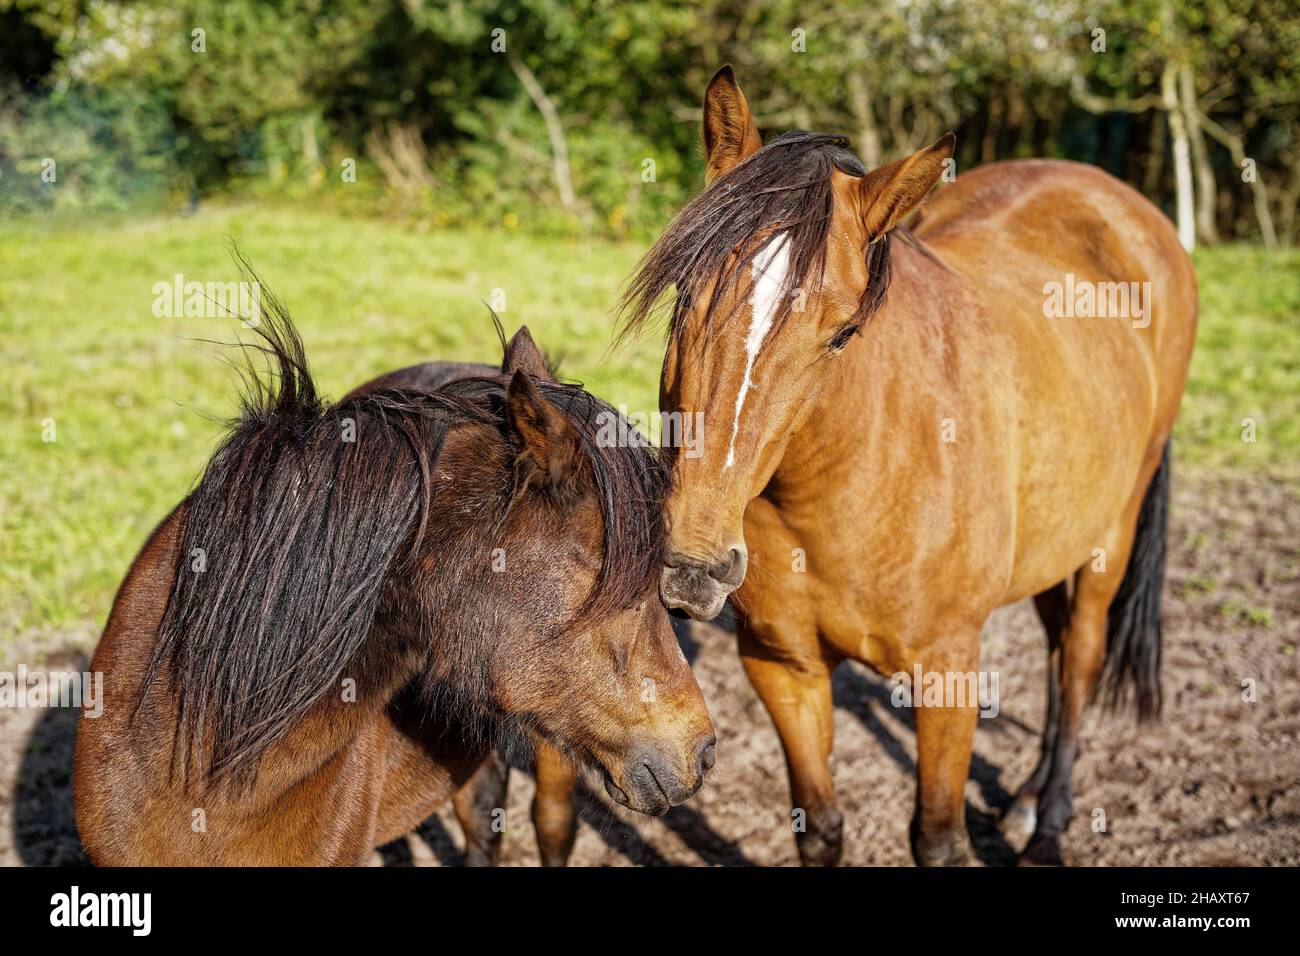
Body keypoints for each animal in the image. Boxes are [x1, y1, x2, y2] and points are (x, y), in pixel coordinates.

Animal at [621, 66, 1197, 866]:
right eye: (683, 296)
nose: (692, 563)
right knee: (1056, 651)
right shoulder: (783, 668)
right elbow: (821, 827)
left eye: (841, 333)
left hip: (1111, 533)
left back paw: (1047, 824)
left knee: (1080, 659)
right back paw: (1023, 804)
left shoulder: (948, 674)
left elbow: (938, 837)